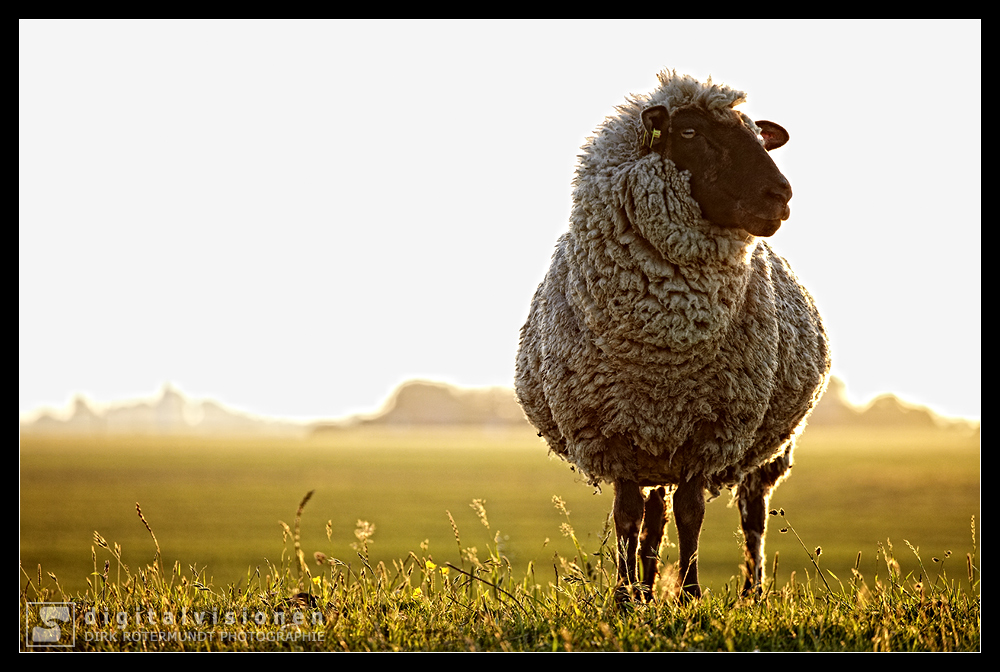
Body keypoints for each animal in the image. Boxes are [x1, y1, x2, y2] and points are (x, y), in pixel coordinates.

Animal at [514, 70, 830, 600]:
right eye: (689, 132)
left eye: (758, 135)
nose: (780, 195)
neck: (663, 343)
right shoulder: (615, 431)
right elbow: (627, 516)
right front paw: (624, 597)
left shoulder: (709, 433)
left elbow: (691, 513)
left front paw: (690, 595)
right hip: (655, 446)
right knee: (653, 514)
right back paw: (645, 588)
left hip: (765, 447)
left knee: (752, 514)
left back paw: (751, 593)